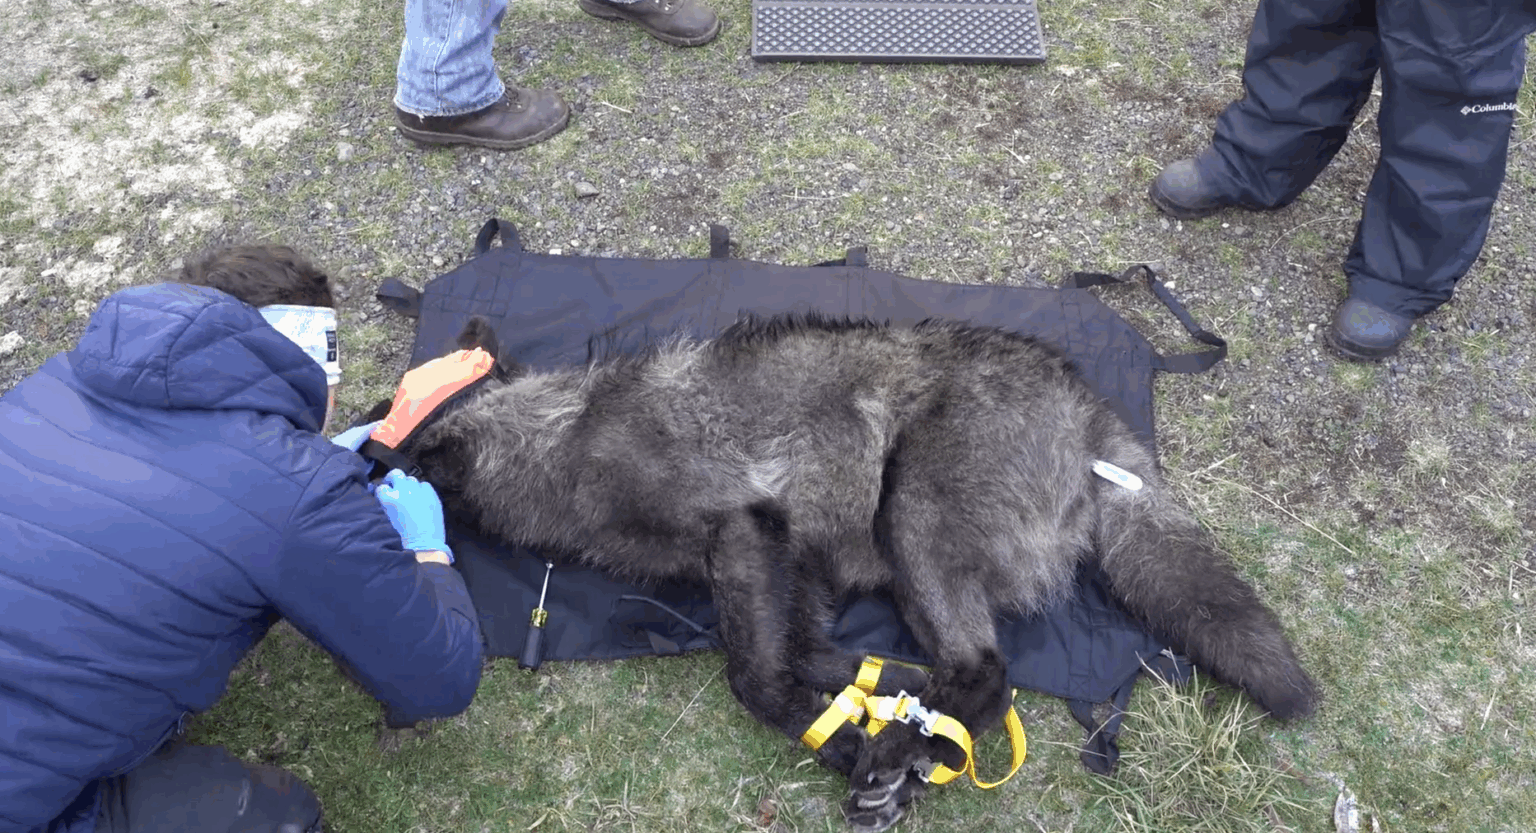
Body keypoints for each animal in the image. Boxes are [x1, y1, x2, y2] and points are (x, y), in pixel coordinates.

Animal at [380, 313, 1318, 832]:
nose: (364, 459)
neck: (558, 434)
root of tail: (1090, 412)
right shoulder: (797, 561)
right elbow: (817, 655)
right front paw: (870, 699)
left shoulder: (744, 530)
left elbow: (756, 675)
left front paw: (847, 738)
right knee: (968, 673)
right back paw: (912, 724)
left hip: (912, 516)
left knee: (990, 673)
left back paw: (905, 744)